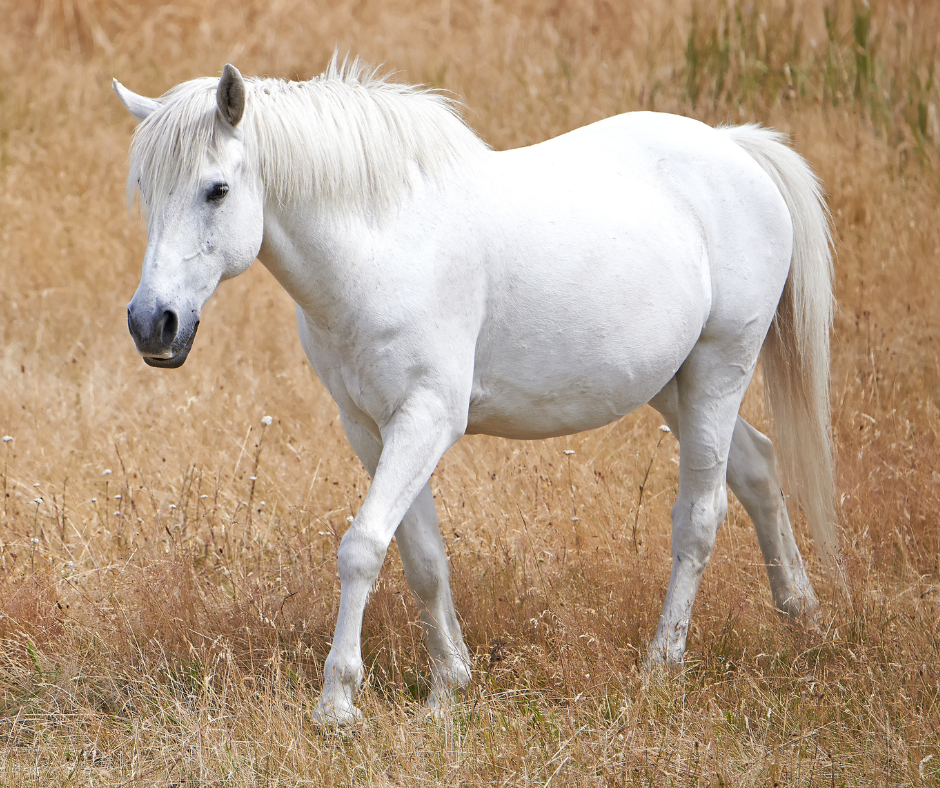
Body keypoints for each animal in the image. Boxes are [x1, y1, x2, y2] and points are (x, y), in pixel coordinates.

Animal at [113, 57, 840, 724]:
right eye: (146, 186)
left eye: (216, 190)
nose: (152, 323)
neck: (383, 248)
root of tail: (736, 148)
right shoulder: (370, 427)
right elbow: (422, 557)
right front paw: (447, 686)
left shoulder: (427, 419)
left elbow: (362, 547)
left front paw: (337, 700)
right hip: (675, 383)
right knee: (757, 467)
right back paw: (802, 616)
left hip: (720, 368)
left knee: (699, 514)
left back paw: (662, 662)